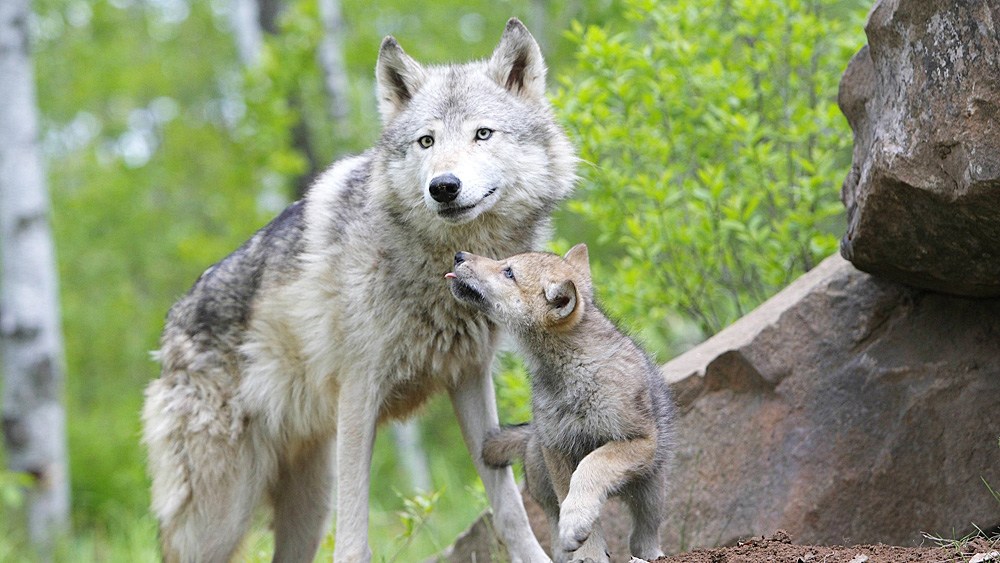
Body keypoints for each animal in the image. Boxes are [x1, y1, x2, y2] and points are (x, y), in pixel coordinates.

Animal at [141, 18, 574, 563]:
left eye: (483, 134)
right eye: (426, 141)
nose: (443, 187)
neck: (439, 266)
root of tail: (169, 331)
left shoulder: (470, 379)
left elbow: (510, 511)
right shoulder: (359, 393)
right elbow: (353, 540)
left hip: (308, 501)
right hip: (221, 516)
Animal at [446, 245, 675, 563]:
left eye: (508, 272)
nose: (459, 255)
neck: (573, 371)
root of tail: (530, 434)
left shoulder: (638, 441)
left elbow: (592, 466)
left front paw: (577, 525)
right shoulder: (557, 449)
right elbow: (571, 497)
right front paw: (587, 552)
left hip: (651, 490)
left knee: (643, 534)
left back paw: (650, 555)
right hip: (543, 477)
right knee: (554, 528)